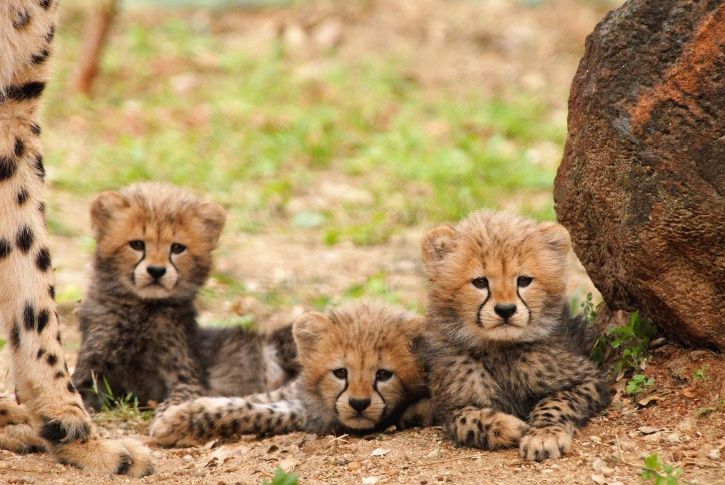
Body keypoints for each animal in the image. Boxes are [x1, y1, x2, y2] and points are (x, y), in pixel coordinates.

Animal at [71, 182, 300, 417]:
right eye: (137, 244)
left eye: (177, 248)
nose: (156, 271)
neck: (143, 311)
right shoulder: (91, 369)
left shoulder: (186, 377)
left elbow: (177, 399)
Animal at [149, 301, 433, 447]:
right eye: (340, 372)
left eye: (383, 374)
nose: (359, 403)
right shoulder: (298, 398)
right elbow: (248, 403)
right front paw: (175, 416)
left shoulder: (311, 417)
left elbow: (254, 414)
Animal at [420, 209, 610, 461]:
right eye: (480, 282)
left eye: (524, 280)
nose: (505, 310)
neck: (500, 350)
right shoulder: (449, 406)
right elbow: (468, 419)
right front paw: (508, 427)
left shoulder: (589, 379)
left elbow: (556, 402)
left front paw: (543, 434)